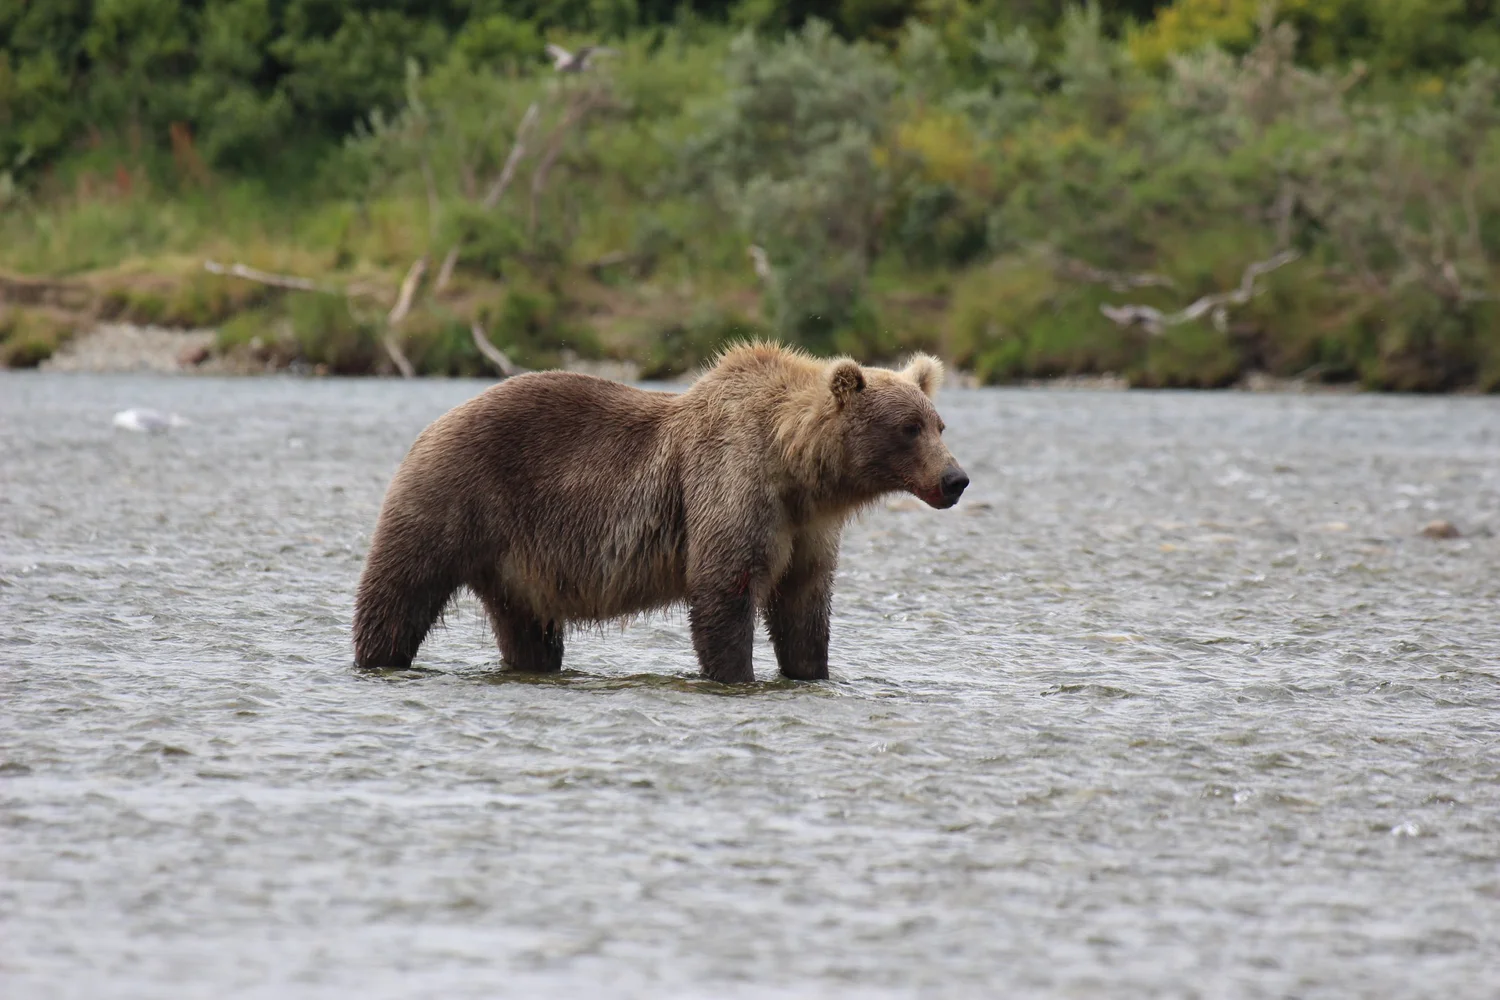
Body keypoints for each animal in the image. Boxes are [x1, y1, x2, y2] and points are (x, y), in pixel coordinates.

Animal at [351, 341, 968, 683]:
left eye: (939, 424)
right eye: (908, 428)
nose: (955, 479)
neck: (797, 470)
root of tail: (437, 420)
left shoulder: (808, 530)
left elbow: (803, 609)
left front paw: (811, 670)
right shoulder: (729, 482)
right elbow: (724, 589)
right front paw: (736, 673)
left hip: (514, 565)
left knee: (528, 629)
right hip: (453, 496)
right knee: (400, 590)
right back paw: (378, 656)